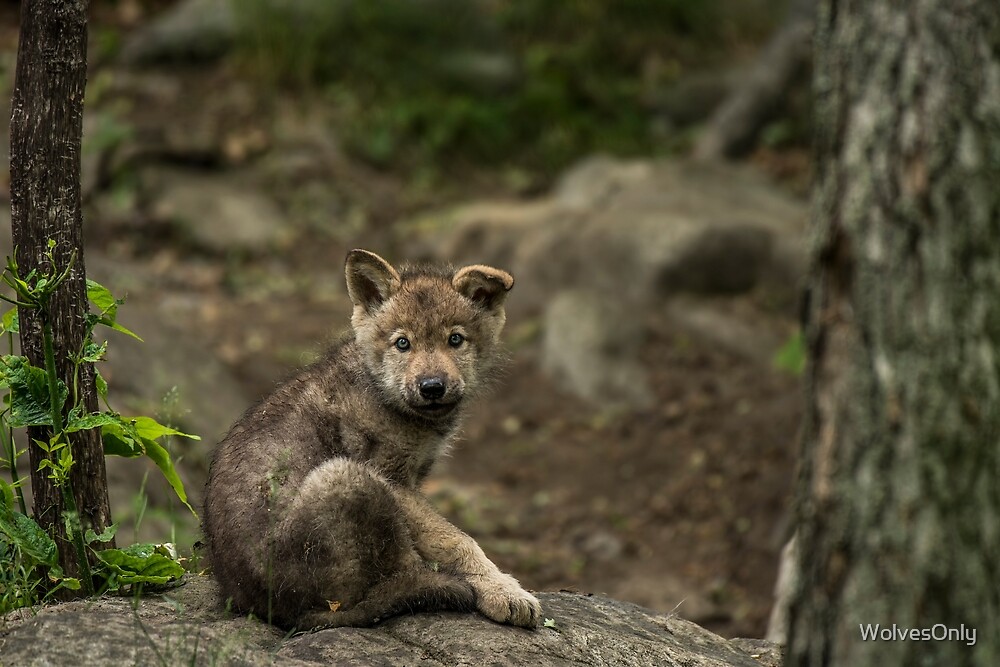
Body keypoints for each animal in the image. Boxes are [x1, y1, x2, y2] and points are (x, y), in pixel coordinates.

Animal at [203, 249, 541, 630]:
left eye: (455, 339)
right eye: (402, 343)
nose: (432, 387)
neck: (382, 392)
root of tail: (269, 608)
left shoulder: (412, 480)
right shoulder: (392, 480)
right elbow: (455, 539)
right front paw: (505, 592)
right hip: (347, 477)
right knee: (381, 585)